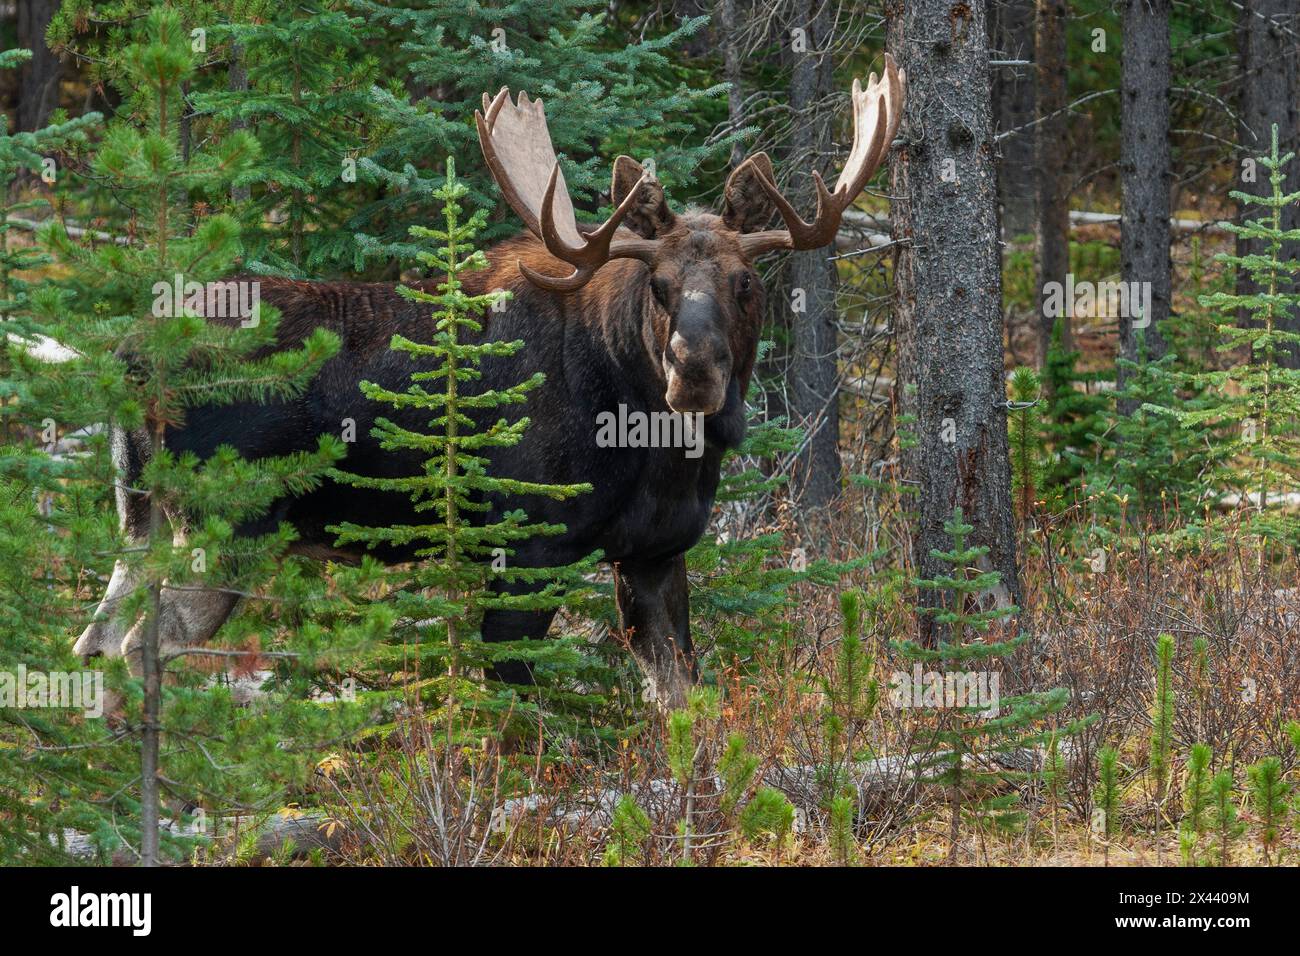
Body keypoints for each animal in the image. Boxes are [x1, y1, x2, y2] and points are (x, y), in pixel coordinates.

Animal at [72, 57, 905, 707]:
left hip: (140, 517)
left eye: (745, 282)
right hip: (226, 523)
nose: (693, 371)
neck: (659, 449)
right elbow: (512, 704)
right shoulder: (526, 549)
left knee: (94, 638)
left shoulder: (655, 552)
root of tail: (128, 355)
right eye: (659, 285)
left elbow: (681, 698)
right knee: (140, 644)